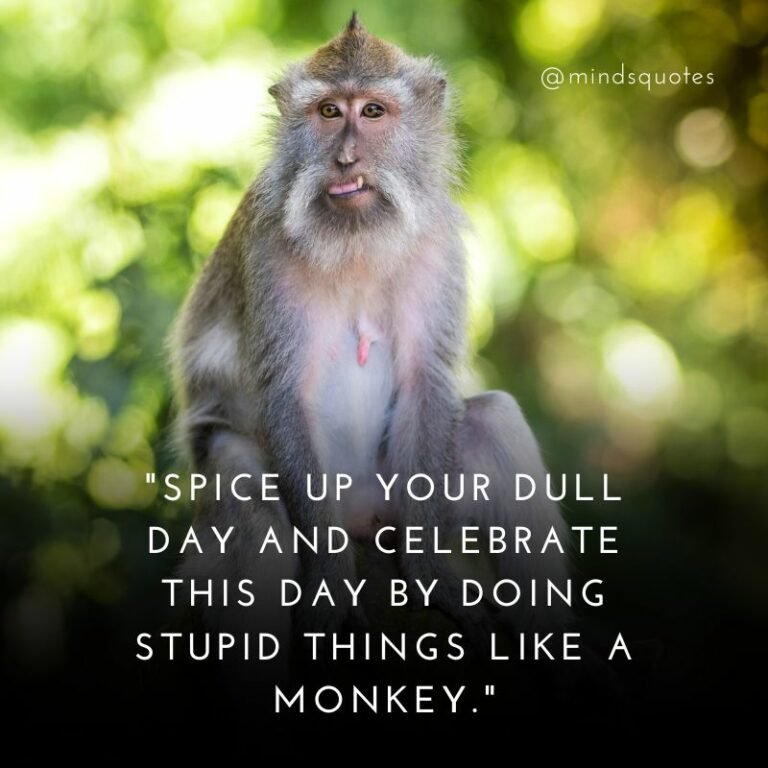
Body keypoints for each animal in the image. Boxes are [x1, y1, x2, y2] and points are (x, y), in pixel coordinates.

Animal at [171, 14, 569, 655]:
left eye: (374, 111)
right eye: (329, 111)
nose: (347, 158)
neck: (355, 241)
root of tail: (361, 520)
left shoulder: (437, 245)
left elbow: (425, 378)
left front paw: (432, 576)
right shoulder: (267, 248)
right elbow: (287, 392)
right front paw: (331, 589)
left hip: (397, 504)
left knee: (492, 419)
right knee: (240, 479)